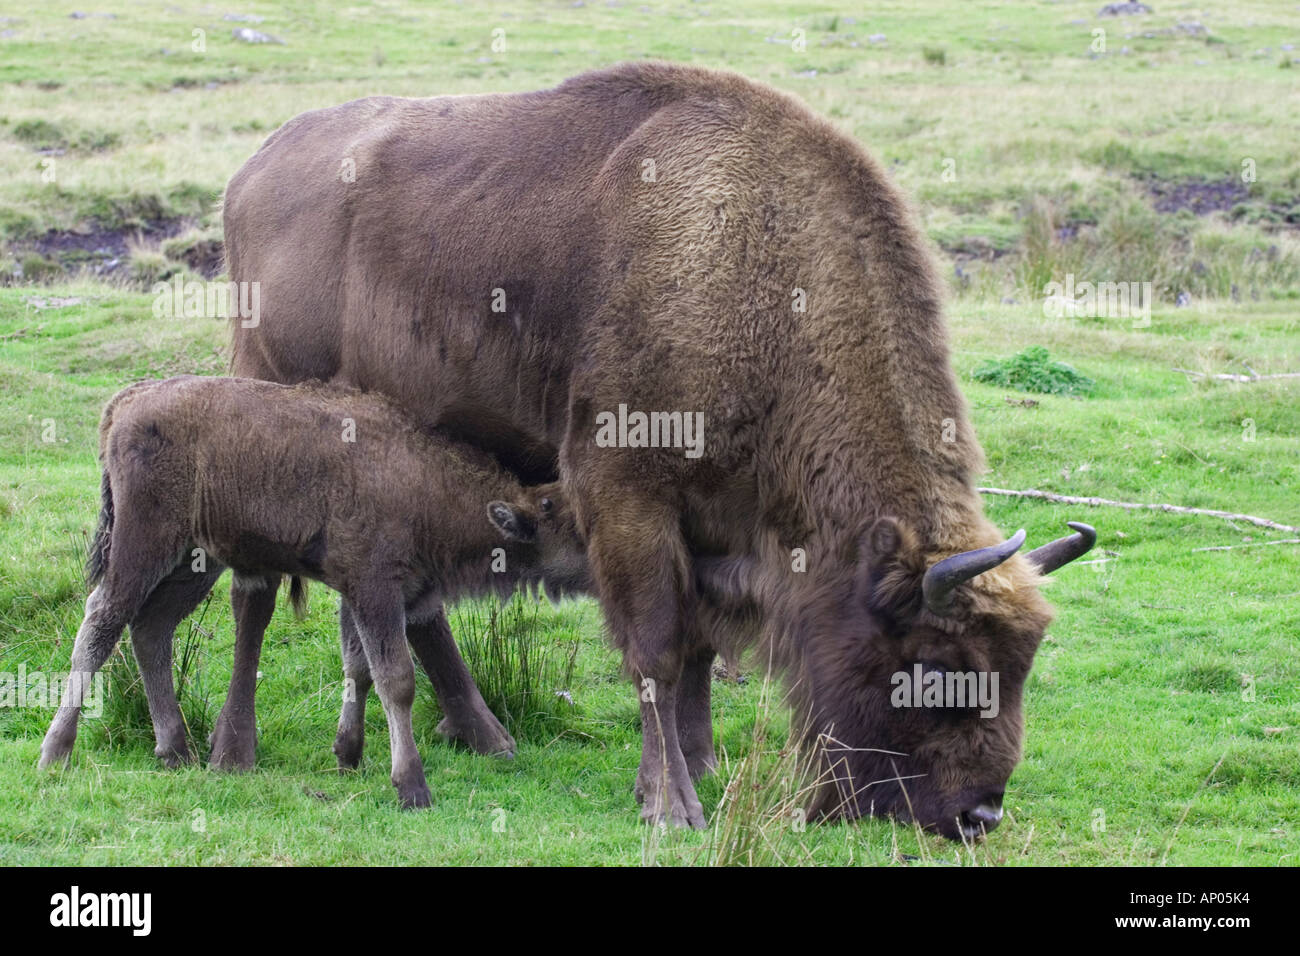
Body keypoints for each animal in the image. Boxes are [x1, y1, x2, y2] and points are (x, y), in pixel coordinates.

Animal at [38, 375, 590, 807]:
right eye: (573, 528)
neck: (418, 480)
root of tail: (130, 398)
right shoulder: (375, 589)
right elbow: (397, 680)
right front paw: (411, 787)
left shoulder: (363, 594)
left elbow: (358, 667)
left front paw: (348, 755)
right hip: (144, 543)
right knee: (102, 621)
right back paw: (55, 753)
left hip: (197, 560)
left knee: (151, 627)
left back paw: (176, 752)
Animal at [222, 61, 1095, 837]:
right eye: (938, 665)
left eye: (1022, 664)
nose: (978, 815)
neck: (755, 263)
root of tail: (250, 173)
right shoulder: (627, 500)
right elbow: (657, 652)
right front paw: (670, 803)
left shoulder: (713, 526)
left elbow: (700, 651)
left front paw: (701, 762)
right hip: (267, 403)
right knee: (255, 589)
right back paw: (236, 749)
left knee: (419, 603)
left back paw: (486, 735)